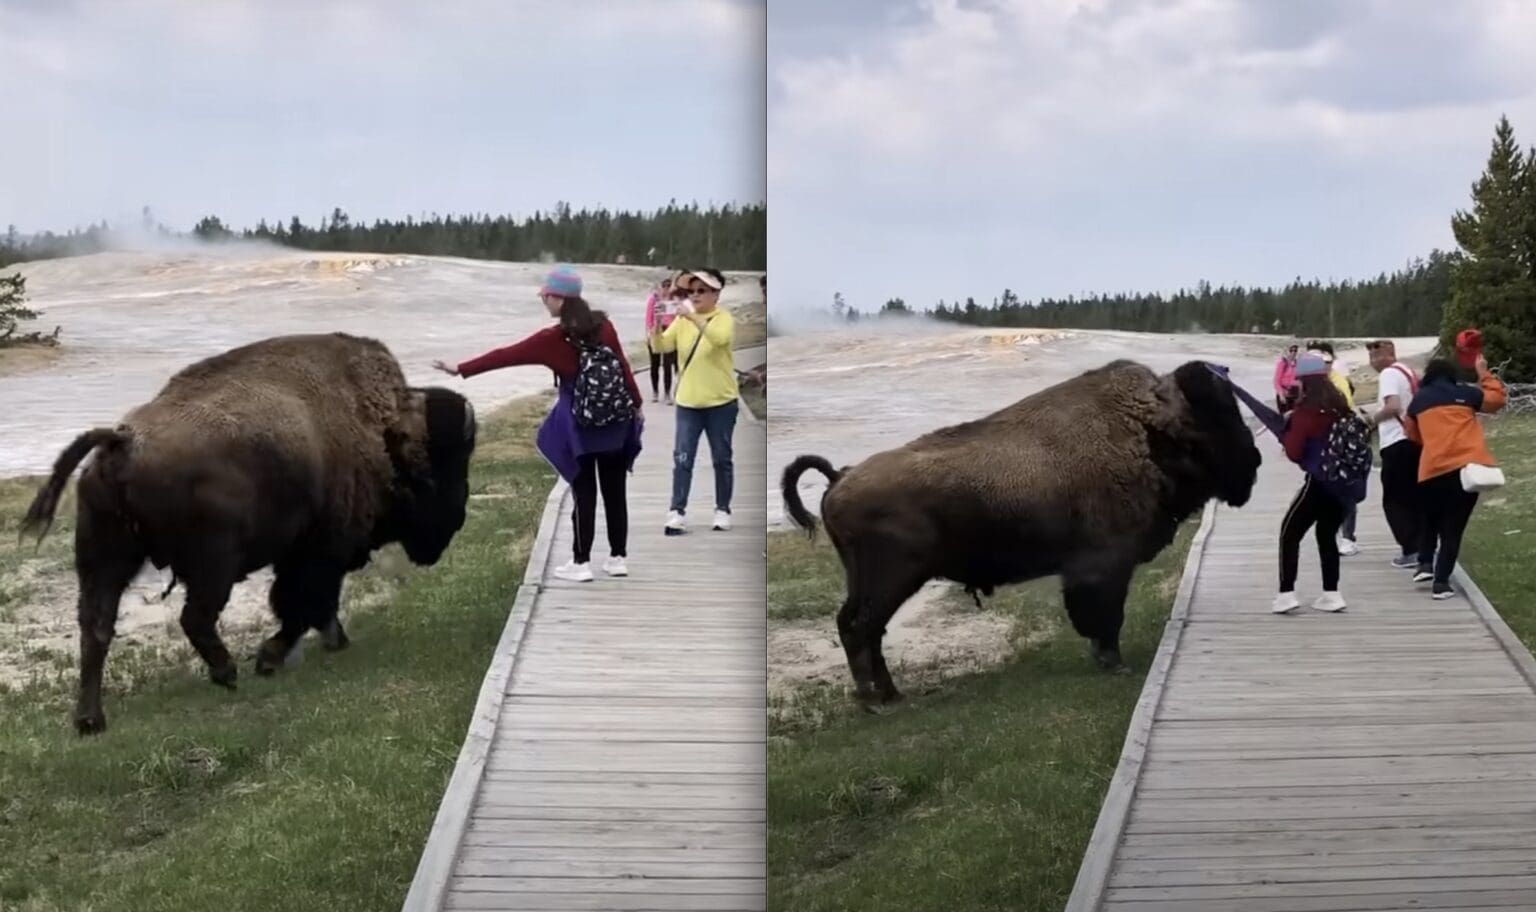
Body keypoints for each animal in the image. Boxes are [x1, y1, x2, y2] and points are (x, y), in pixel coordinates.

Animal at [21, 332, 477, 734]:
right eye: (442, 471)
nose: (457, 519)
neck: (378, 428)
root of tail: (123, 442)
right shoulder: (319, 552)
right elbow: (301, 604)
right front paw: (271, 658)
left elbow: (310, 605)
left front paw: (332, 642)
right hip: (214, 564)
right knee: (193, 617)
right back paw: (226, 673)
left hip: (106, 557)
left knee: (96, 628)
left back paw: (90, 721)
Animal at [780, 359, 1260, 706]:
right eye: (1218, 418)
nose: (1254, 460)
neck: (1148, 430)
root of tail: (841, 477)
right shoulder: (1104, 567)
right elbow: (1105, 617)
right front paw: (1114, 663)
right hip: (892, 578)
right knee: (860, 628)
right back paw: (874, 701)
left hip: (868, 580)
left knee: (860, 627)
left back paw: (890, 695)